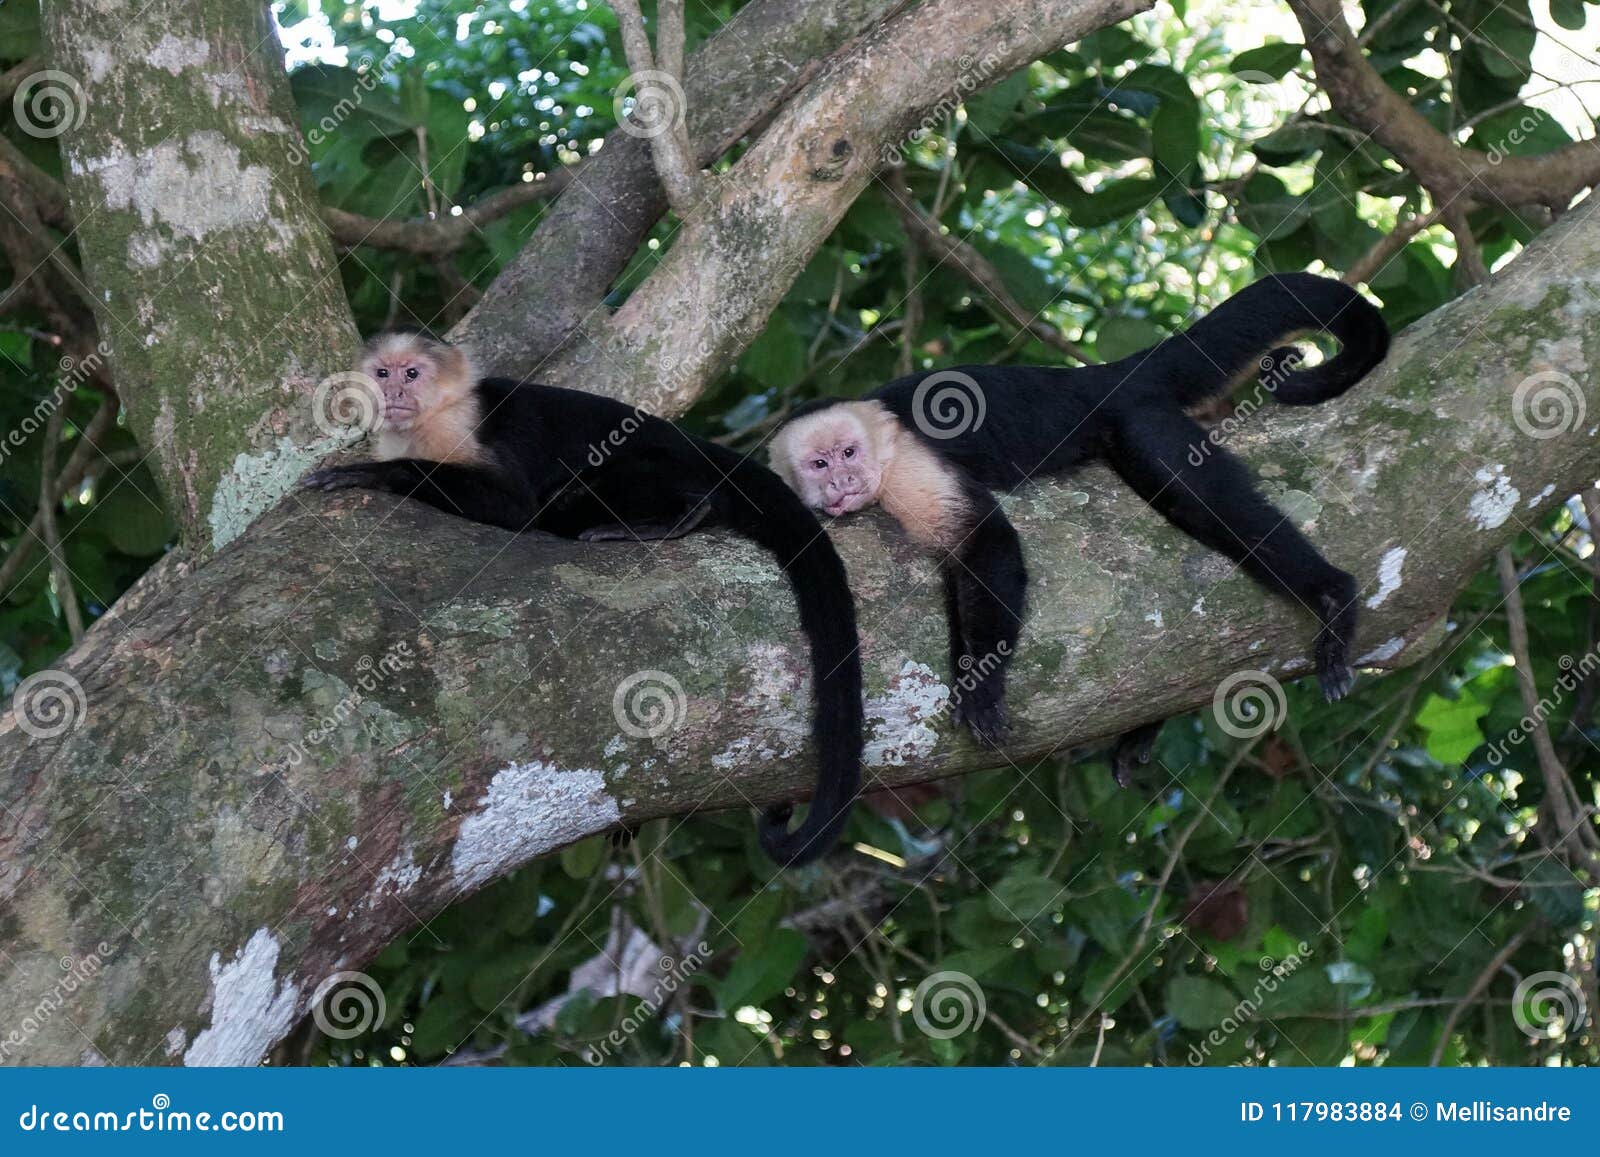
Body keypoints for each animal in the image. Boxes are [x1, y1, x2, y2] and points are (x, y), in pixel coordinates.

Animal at [301, 331, 864, 867]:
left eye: (413, 373)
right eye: (383, 373)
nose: (395, 392)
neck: (429, 423)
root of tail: (699, 446)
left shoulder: (465, 427)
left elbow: (512, 503)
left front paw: (372, 476)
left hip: (666, 467)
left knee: (574, 503)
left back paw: (676, 516)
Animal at [770, 273, 1390, 753]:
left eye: (849, 453)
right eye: (819, 464)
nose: (844, 482)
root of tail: (1102, 376)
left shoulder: (905, 468)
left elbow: (986, 540)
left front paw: (983, 687)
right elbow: (960, 567)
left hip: (1140, 418)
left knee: (1198, 493)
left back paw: (1332, 596)